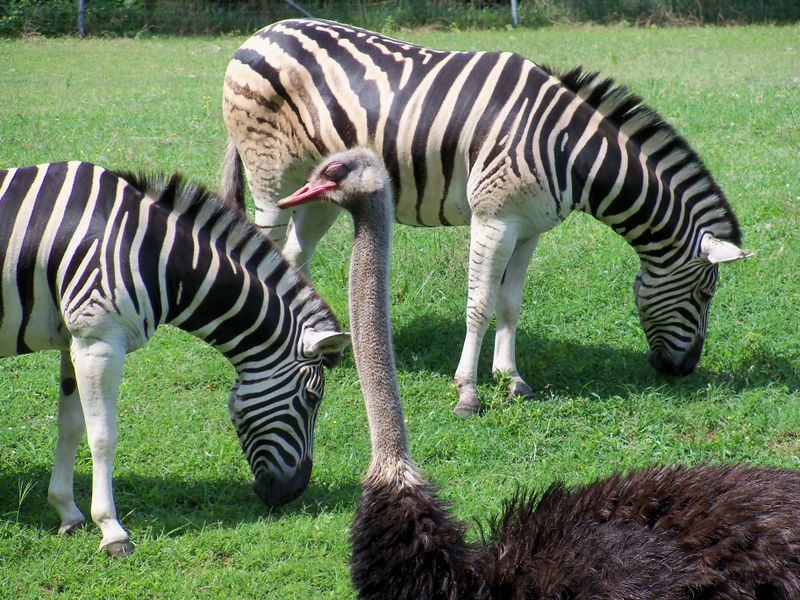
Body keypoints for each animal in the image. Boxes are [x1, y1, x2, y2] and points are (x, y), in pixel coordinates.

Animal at [0, 161, 350, 556]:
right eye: (312, 398)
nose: (293, 493)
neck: (155, 254)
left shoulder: (74, 341)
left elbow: (72, 426)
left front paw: (67, 512)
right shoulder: (100, 343)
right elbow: (103, 436)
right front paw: (111, 530)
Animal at [221, 18, 748, 417]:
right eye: (705, 295)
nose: (683, 371)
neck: (569, 149)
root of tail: (264, 31)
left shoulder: (529, 227)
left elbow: (510, 302)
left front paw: (511, 378)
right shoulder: (493, 219)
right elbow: (479, 302)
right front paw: (468, 392)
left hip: (319, 186)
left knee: (295, 253)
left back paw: (315, 342)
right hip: (270, 177)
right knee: (266, 244)